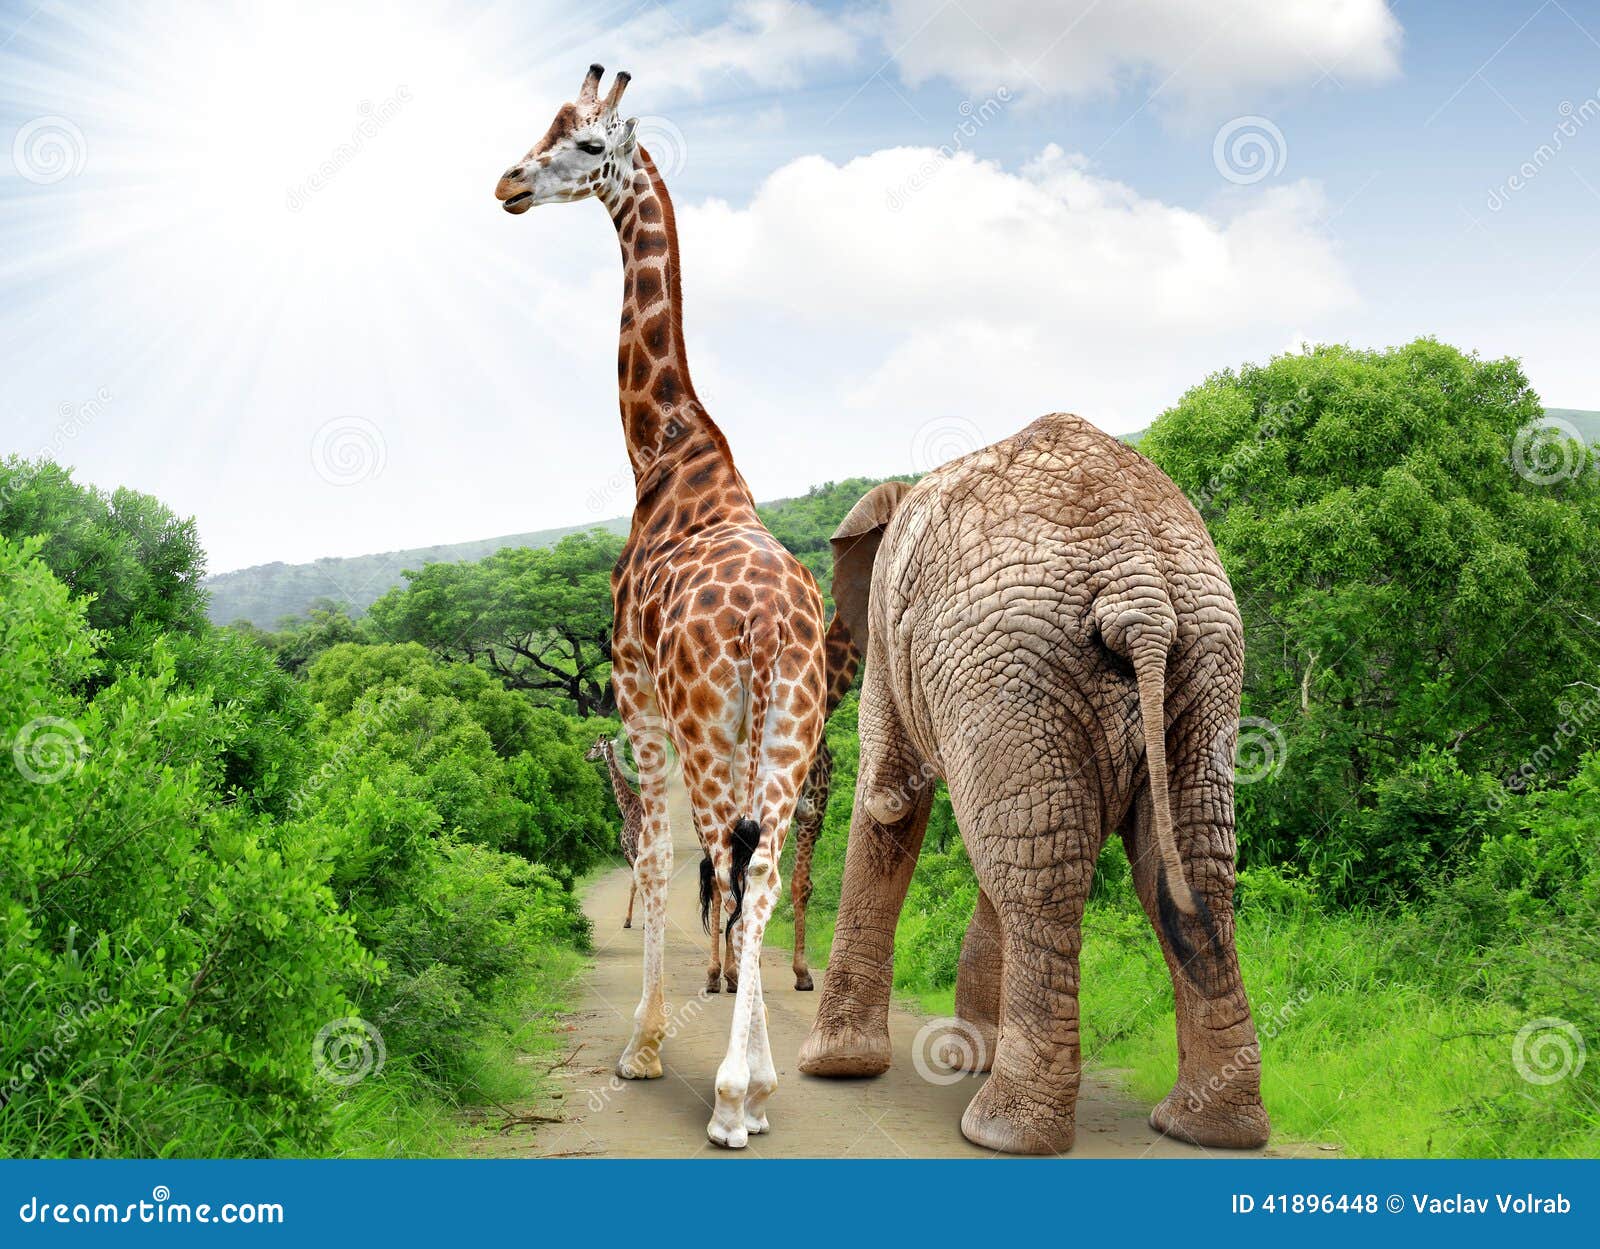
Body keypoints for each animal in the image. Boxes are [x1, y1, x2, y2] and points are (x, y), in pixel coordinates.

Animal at [586, 735, 643, 928]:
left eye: (594, 746)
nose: (585, 755)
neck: (626, 805)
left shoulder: (627, 850)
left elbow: (634, 883)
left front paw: (629, 921)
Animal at [796, 412, 1271, 1155]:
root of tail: (1139, 591)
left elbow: (889, 800)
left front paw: (832, 1068)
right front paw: (965, 1055)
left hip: (1013, 668)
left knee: (1039, 879)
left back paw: (1002, 1131)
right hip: (1200, 662)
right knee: (1187, 869)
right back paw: (1211, 1129)